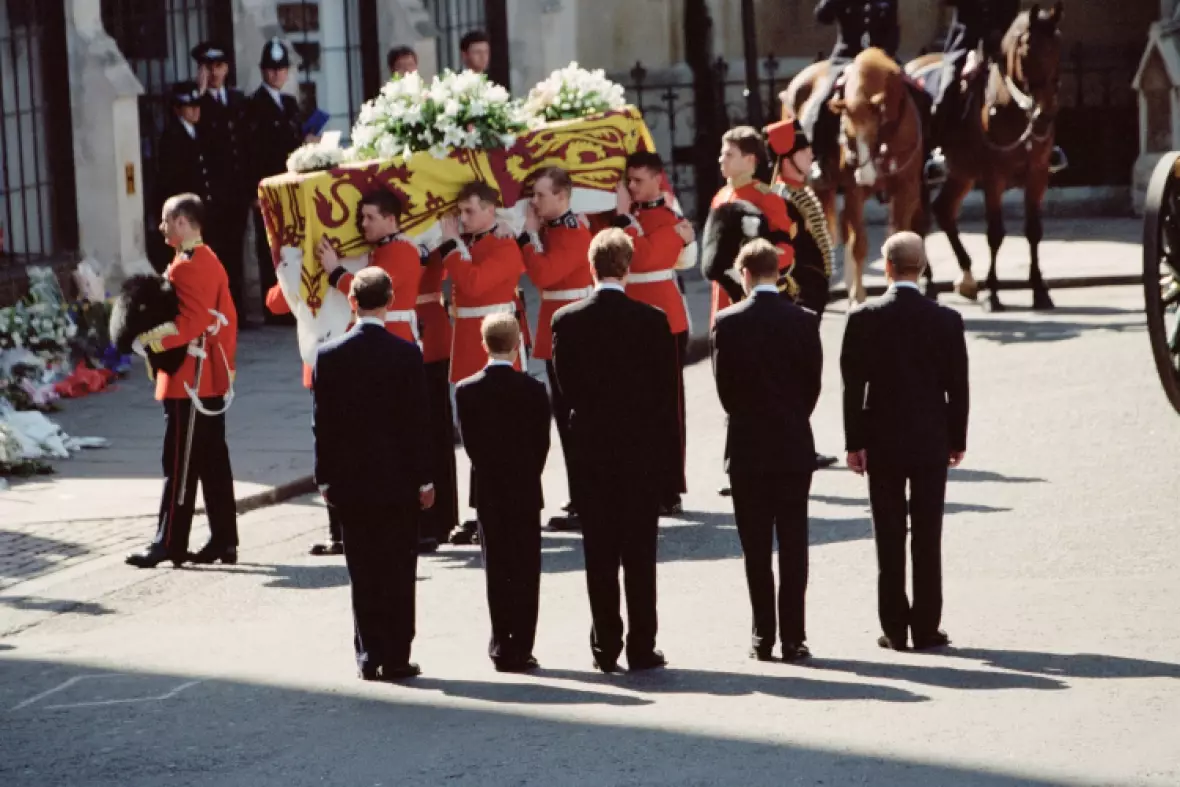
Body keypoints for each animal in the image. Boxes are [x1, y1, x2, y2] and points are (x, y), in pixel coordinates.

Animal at [783, 47, 929, 304]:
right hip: (820, 189)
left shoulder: (906, 190)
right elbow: (858, 244)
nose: (864, 175)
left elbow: (899, 235)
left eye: (874, 131)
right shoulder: (853, 192)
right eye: (846, 136)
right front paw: (857, 297)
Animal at [906, 2, 1066, 311]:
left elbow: (1033, 230)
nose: (1045, 116)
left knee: (943, 210)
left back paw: (966, 279)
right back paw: (928, 282)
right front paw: (993, 293)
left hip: (962, 172)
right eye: (1027, 53)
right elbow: (995, 234)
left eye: (1058, 50)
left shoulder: (1037, 175)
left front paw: (1040, 290)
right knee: (920, 219)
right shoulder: (994, 177)